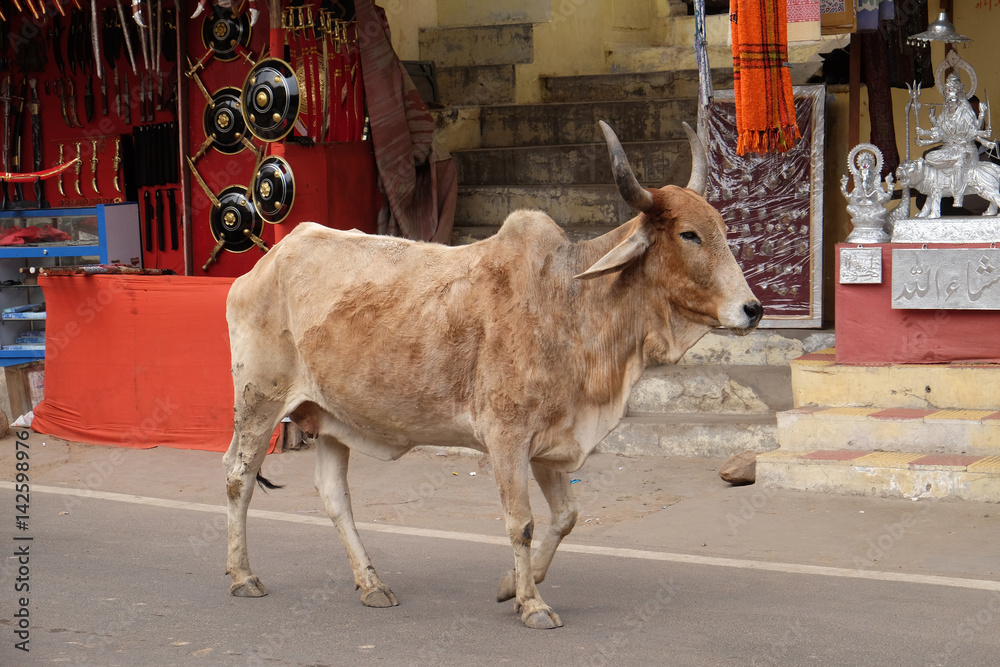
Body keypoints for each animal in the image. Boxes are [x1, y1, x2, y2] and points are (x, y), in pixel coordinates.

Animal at [224, 120, 763, 629]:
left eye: (721, 228)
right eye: (688, 234)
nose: (752, 309)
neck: (570, 299)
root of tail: (265, 262)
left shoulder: (550, 439)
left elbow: (567, 517)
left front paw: (510, 586)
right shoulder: (507, 437)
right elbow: (521, 523)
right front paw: (532, 604)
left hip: (331, 417)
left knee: (335, 496)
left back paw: (371, 584)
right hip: (259, 400)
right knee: (238, 477)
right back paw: (243, 576)